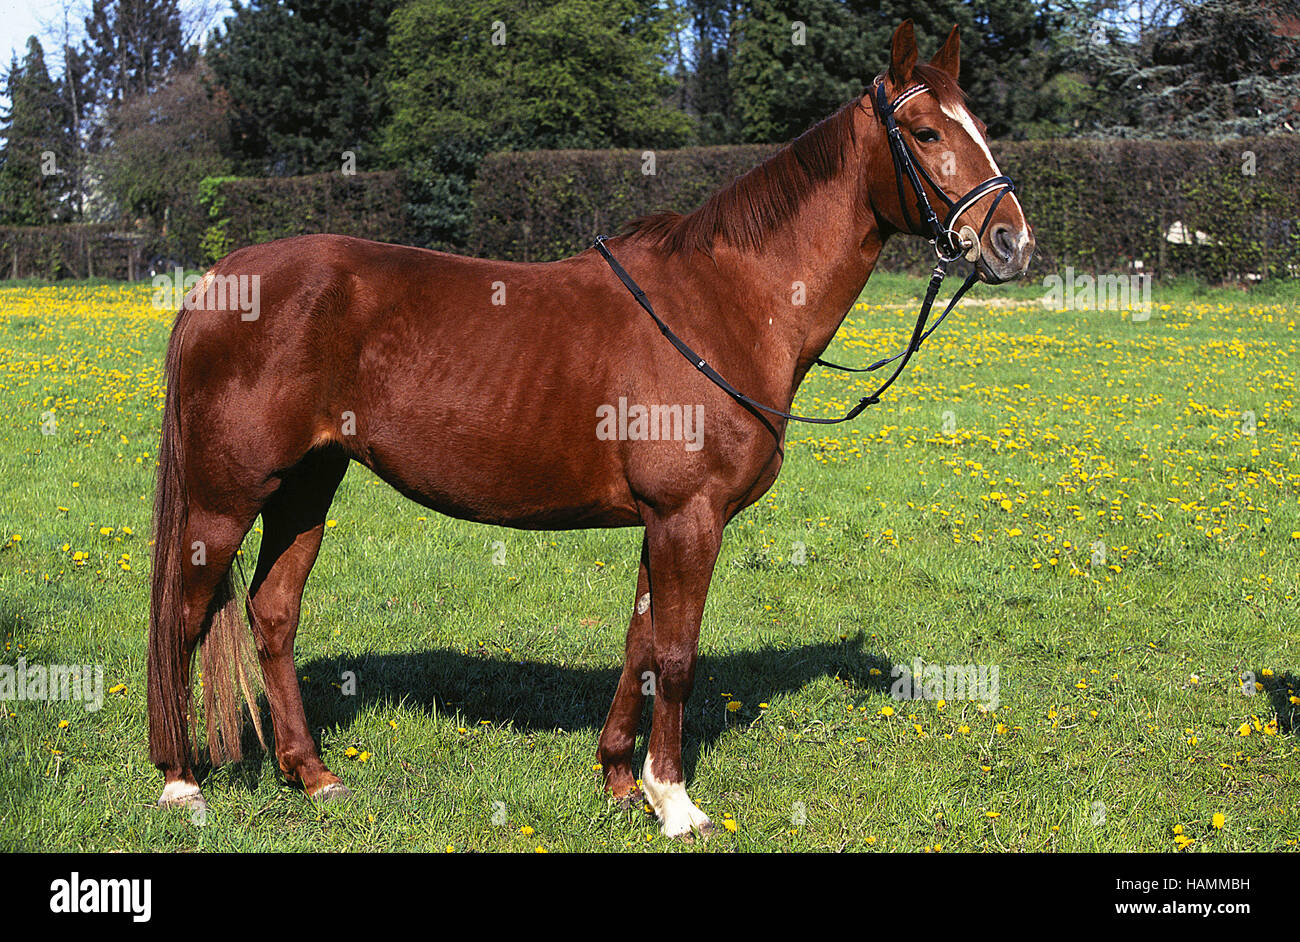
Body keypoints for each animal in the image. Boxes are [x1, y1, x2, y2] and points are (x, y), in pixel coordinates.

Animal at [147, 19, 1033, 838]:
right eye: (927, 133)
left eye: (980, 124)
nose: (1011, 241)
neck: (725, 303)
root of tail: (222, 282)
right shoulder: (689, 517)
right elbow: (675, 655)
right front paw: (676, 802)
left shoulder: (663, 521)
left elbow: (639, 644)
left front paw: (619, 780)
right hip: (227, 497)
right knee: (183, 619)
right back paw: (181, 783)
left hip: (306, 484)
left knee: (272, 613)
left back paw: (313, 775)